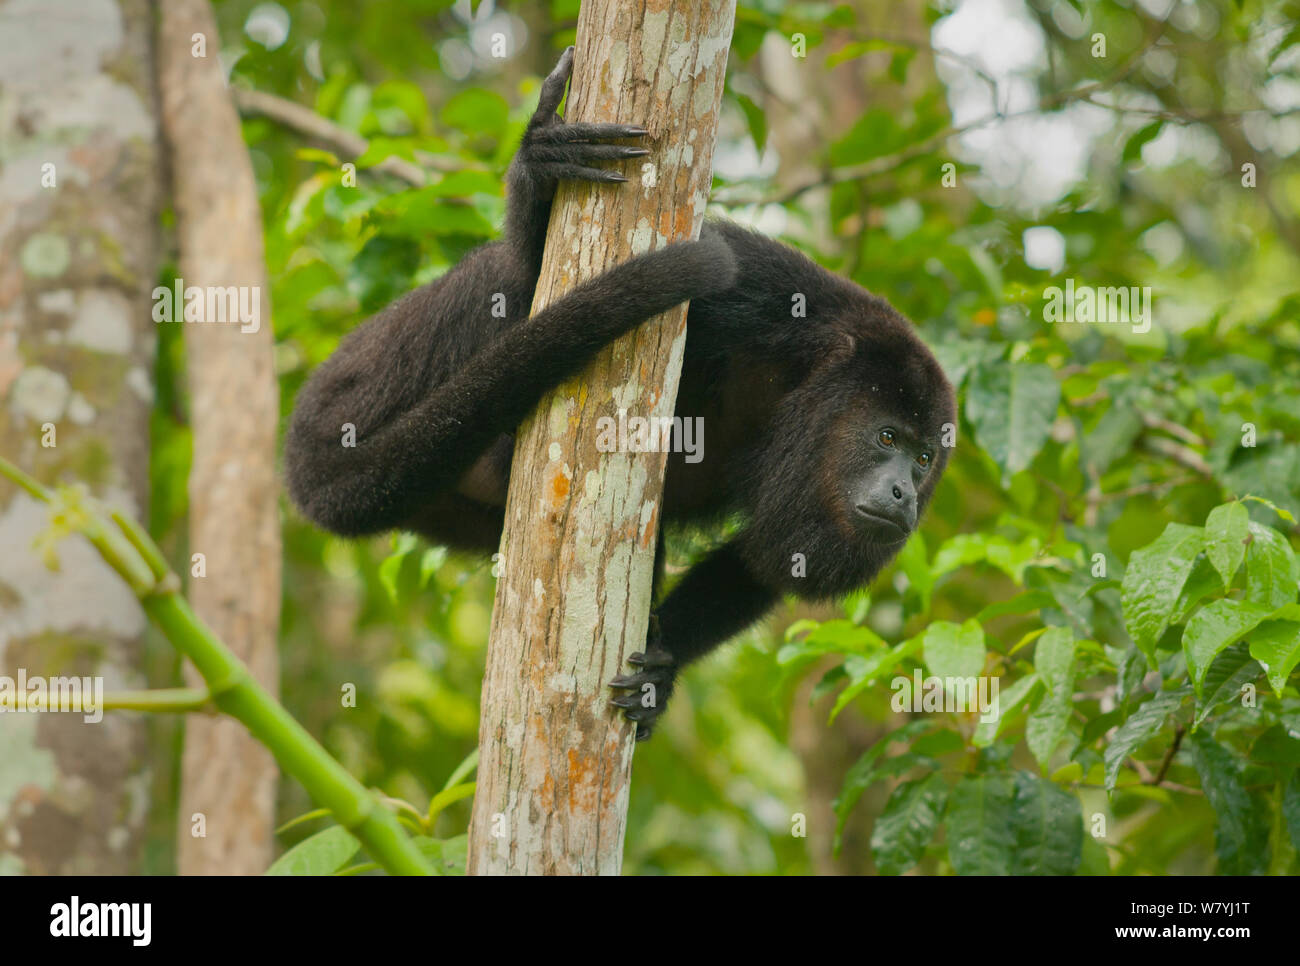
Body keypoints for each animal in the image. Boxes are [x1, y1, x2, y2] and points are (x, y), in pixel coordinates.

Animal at [285, 47, 956, 740]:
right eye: (886, 436)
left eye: (924, 458)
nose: (904, 493)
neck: (810, 378)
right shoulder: (762, 290)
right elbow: (534, 276)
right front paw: (540, 159)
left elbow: (758, 566)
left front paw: (662, 670)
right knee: (501, 278)